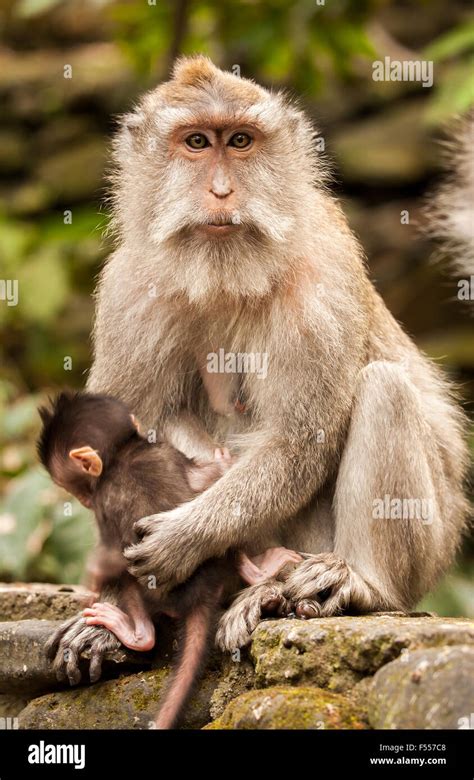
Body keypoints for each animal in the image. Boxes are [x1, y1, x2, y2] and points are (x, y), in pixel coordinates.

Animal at [38, 390, 301, 728]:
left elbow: (110, 555)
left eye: (74, 486)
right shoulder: (168, 452)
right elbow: (207, 478)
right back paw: (261, 569)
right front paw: (223, 461)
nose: (82, 499)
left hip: (157, 595)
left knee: (130, 584)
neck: (124, 451)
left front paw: (91, 583)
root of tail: (202, 592)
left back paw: (135, 632)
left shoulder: (104, 500)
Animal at [46, 55, 469, 669]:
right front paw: (115, 619)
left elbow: (298, 443)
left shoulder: (322, 279)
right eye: (197, 142)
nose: (222, 191)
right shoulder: (128, 287)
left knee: (384, 388)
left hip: (428, 545)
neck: (225, 274)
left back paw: (354, 584)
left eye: (241, 141)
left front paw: (184, 538)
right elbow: (114, 441)